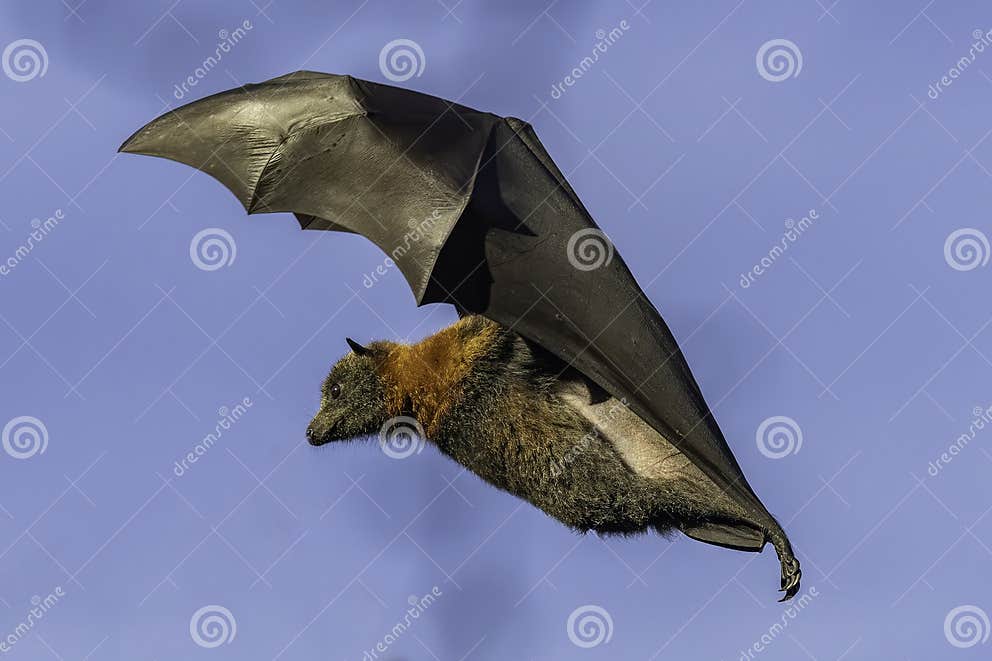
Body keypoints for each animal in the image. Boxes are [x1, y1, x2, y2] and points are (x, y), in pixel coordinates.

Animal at [306, 315, 801, 599]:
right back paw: (776, 541)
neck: (414, 389)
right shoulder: (473, 352)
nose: (312, 433)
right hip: (646, 485)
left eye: (335, 393)